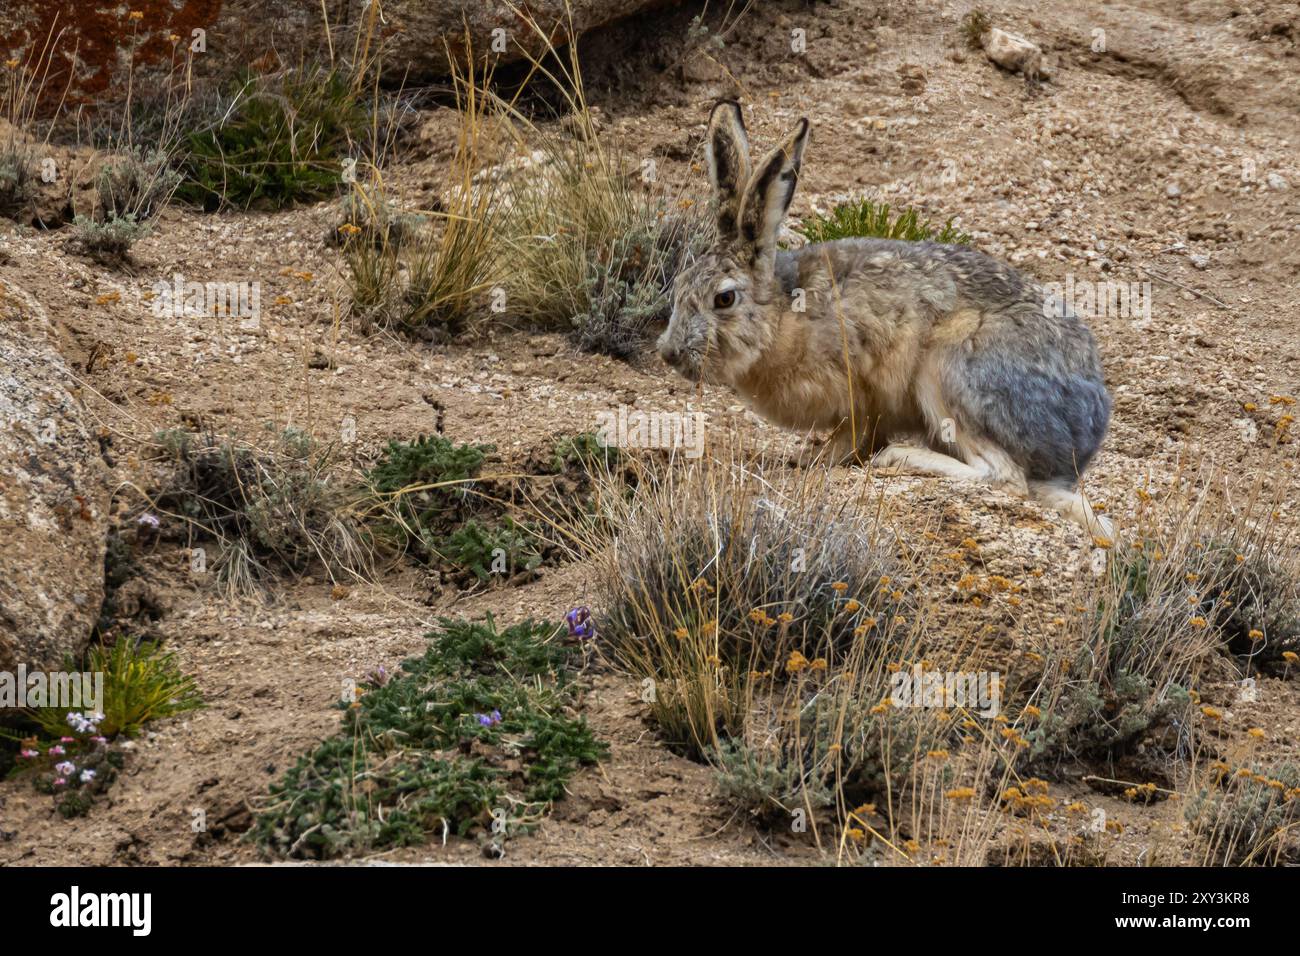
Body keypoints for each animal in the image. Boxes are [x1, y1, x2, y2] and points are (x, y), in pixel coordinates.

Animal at [657, 101, 1113, 541]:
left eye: (724, 299)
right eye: (678, 284)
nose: (669, 353)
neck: (781, 315)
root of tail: (1082, 437)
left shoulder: (858, 392)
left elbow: (851, 437)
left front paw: (817, 458)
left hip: (951, 372)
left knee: (1005, 476)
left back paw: (901, 457)